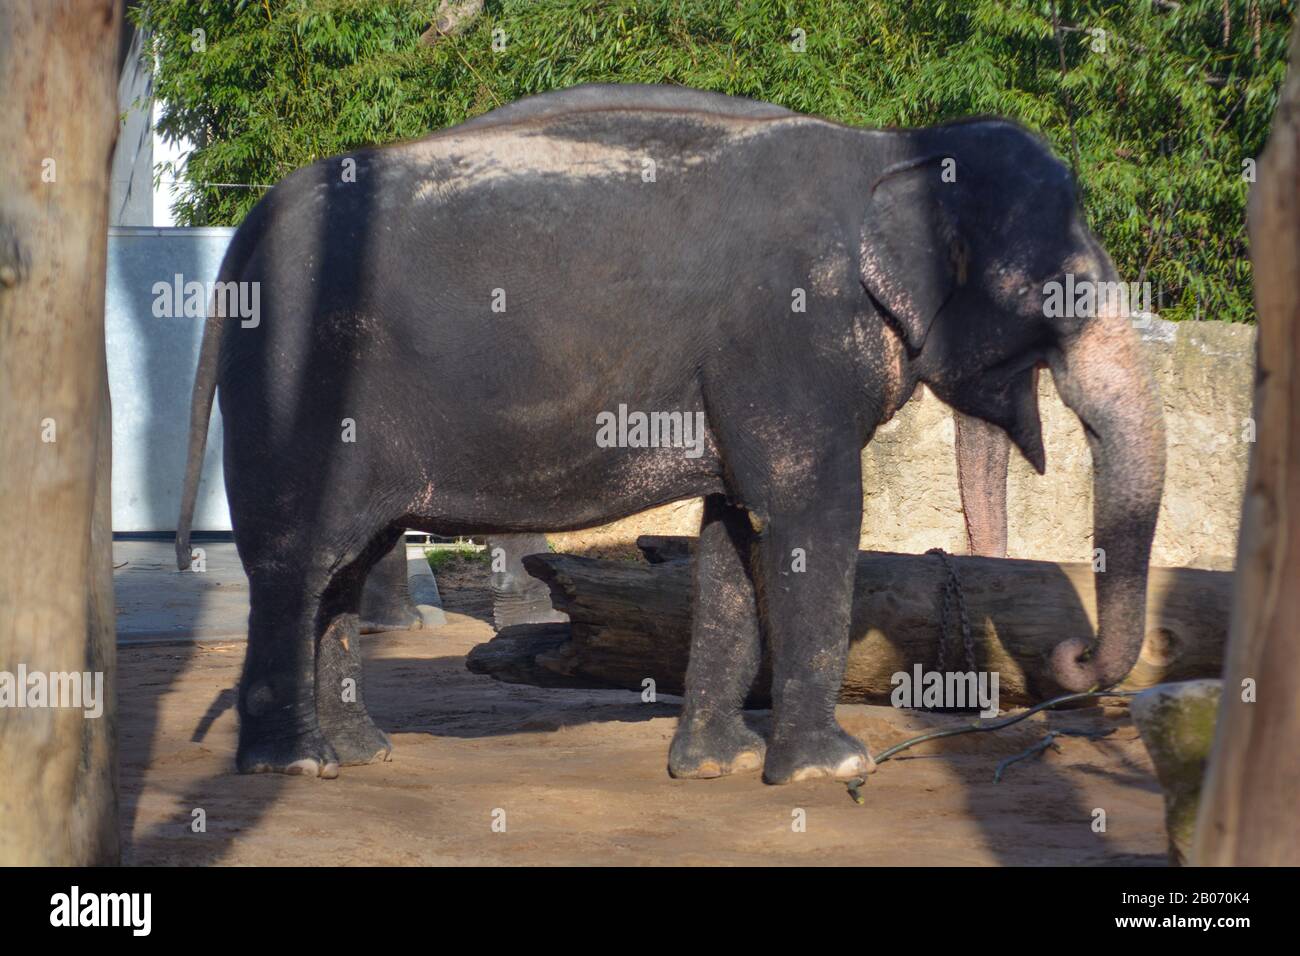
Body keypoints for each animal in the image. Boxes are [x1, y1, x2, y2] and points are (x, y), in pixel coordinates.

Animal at [175, 83, 1165, 782]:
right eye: (1064, 286)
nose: (1073, 658)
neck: (895, 149)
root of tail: (248, 230)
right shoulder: (784, 335)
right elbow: (811, 513)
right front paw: (831, 770)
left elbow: (735, 529)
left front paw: (718, 766)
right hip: (296, 385)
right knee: (300, 561)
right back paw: (291, 766)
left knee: (344, 565)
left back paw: (359, 754)